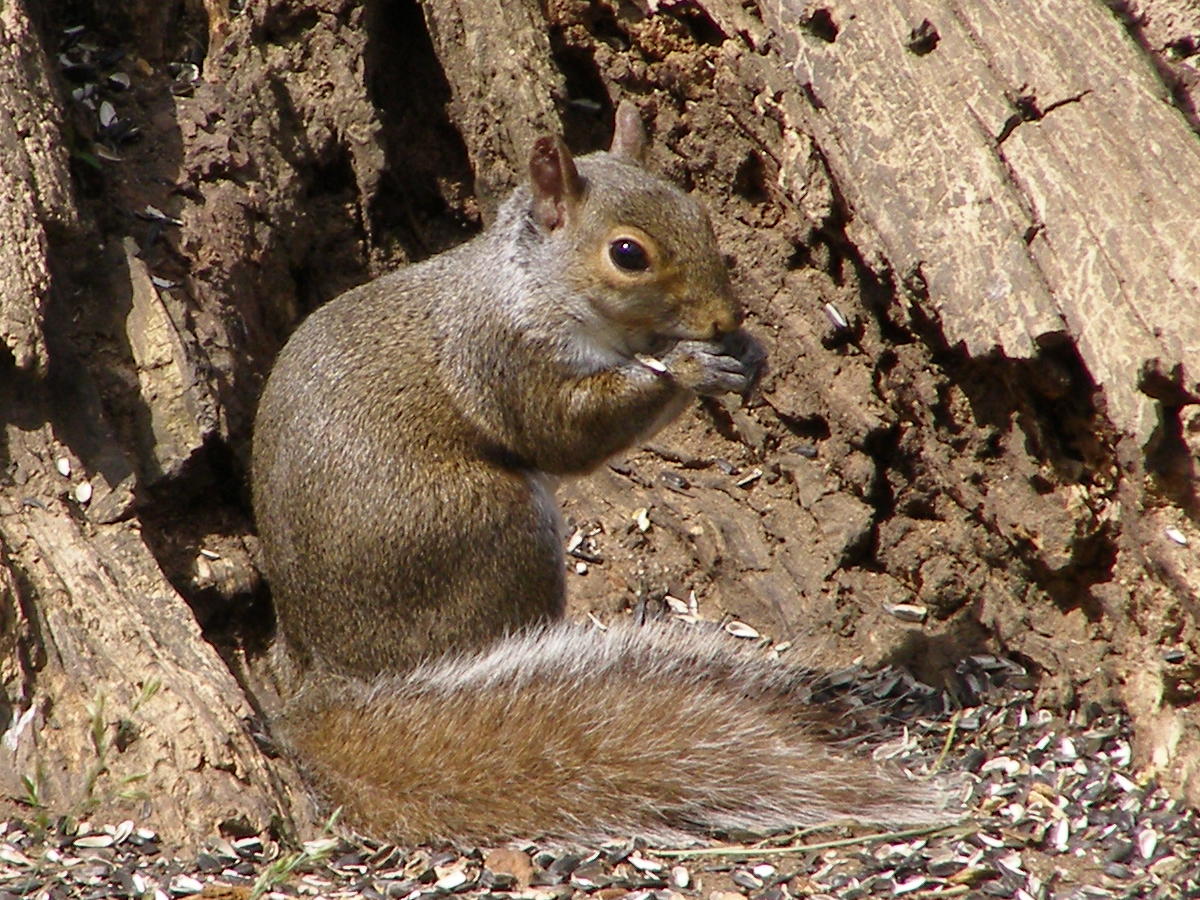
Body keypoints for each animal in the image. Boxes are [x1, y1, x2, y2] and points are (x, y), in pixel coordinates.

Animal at [251, 102, 954, 846]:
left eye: (699, 214)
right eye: (627, 255)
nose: (724, 319)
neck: (535, 285)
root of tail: (326, 678)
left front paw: (747, 350)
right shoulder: (506, 360)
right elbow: (569, 437)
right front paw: (692, 366)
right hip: (491, 528)